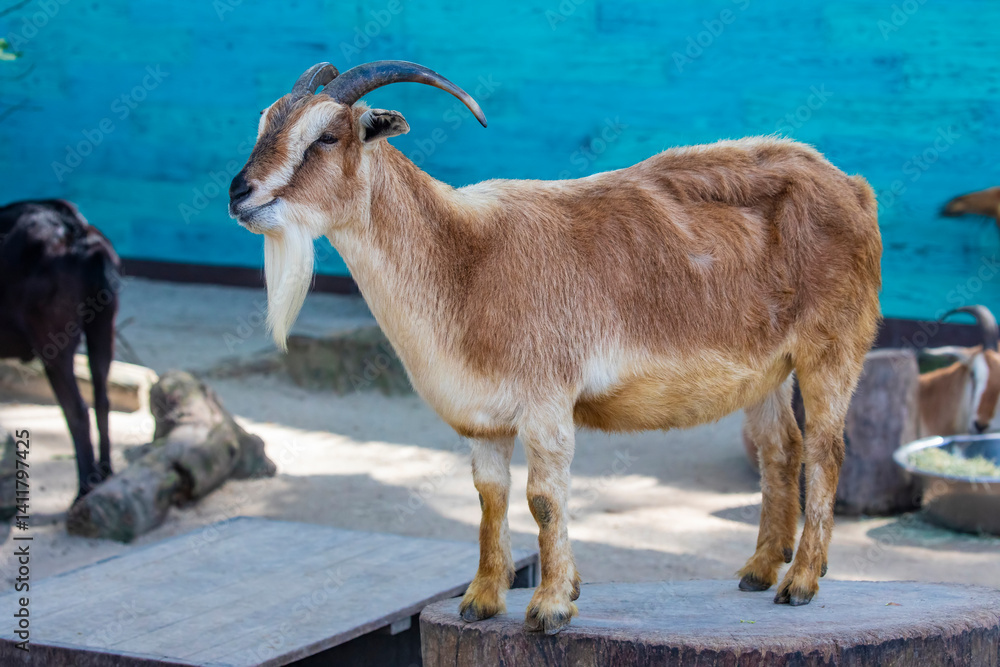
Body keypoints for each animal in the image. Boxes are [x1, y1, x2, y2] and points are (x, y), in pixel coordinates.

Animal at [0, 199, 120, 501]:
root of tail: (77, 230)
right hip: (103, 324)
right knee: (102, 399)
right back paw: (105, 473)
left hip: (54, 341)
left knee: (77, 409)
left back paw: (85, 488)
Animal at [229, 61, 882, 633]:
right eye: (264, 124)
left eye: (327, 136)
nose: (239, 193)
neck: (463, 263)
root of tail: (853, 187)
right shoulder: (482, 418)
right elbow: (489, 497)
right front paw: (482, 600)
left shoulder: (546, 398)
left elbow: (543, 498)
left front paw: (550, 607)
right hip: (768, 370)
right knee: (781, 449)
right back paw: (758, 569)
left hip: (831, 347)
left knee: (826, 451)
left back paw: (800, 582)